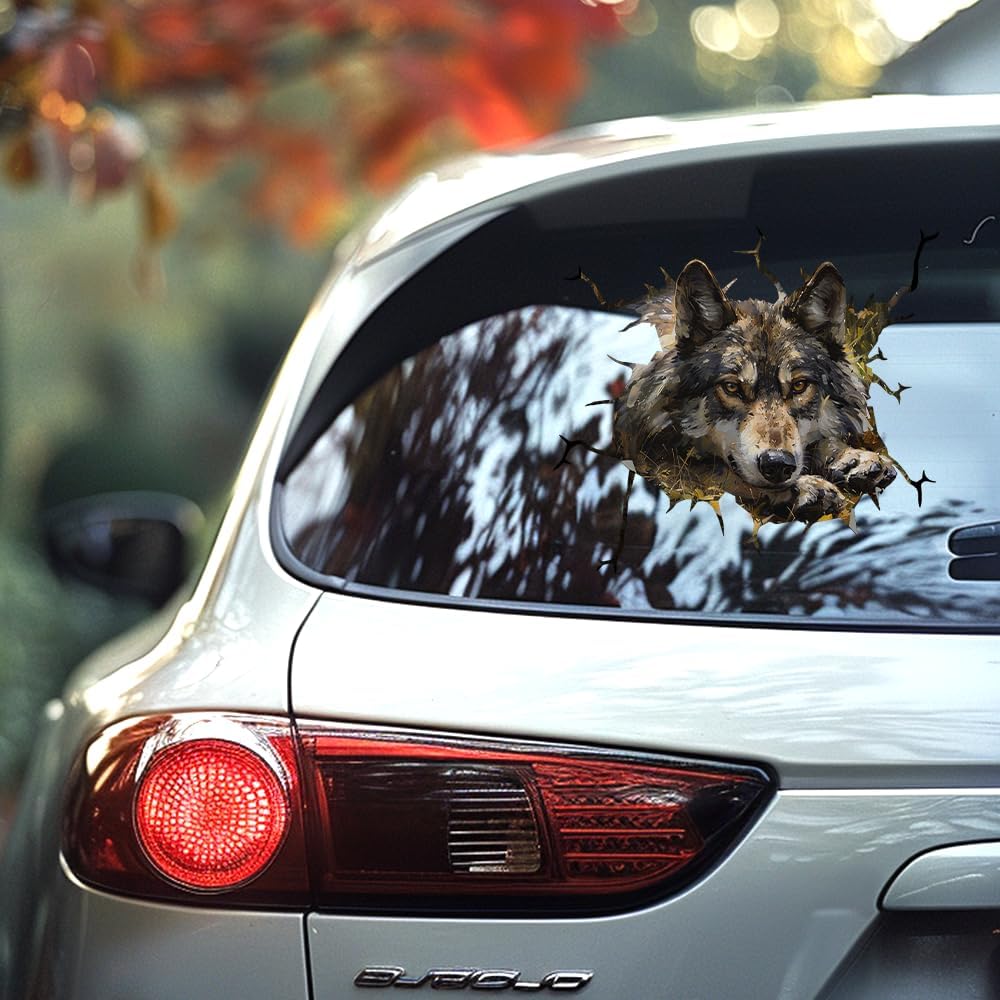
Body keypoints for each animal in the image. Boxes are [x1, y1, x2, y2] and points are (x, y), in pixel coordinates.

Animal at [612, 259, 896, 523]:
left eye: (799, 386)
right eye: (731, 387)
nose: (778, 465)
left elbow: (822, 442)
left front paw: (852, 459)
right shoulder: (653, 457)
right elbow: (721, 474)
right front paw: (803, 489)